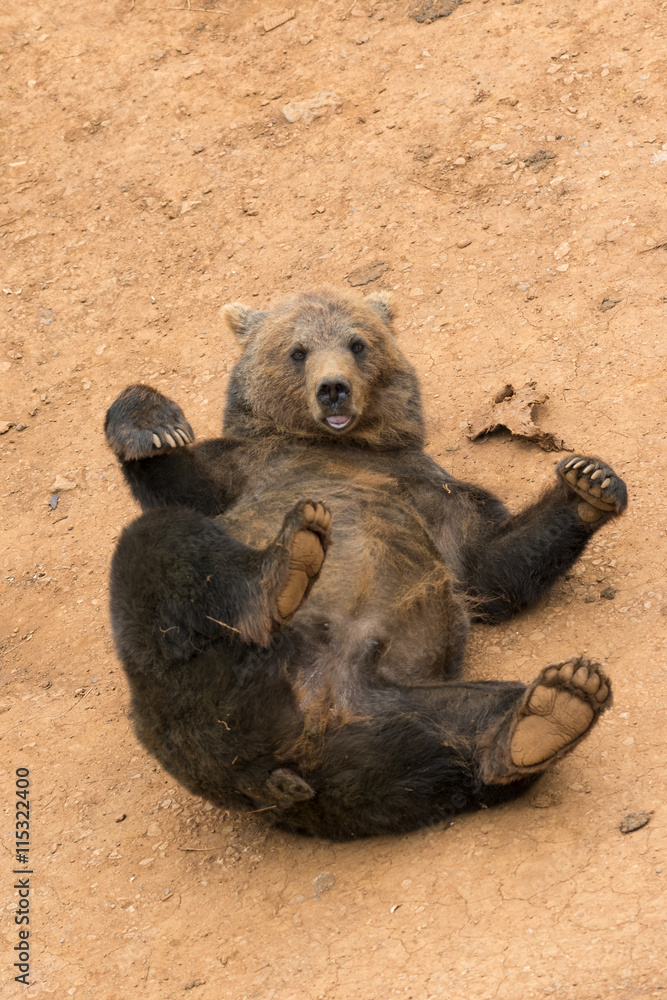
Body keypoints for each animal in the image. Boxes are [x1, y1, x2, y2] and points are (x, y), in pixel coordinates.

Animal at [105, 286, 627, 840]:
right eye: (297, 351)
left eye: (357, 343)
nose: (333, 389)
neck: (345, 445)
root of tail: (293, 758)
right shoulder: (249, 466)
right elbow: (180, 483)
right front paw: (154, 427)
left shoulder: (429, 490)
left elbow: (490, 568)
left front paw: (590, 481)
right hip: (196, 682)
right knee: (159, 545)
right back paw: (283, 568)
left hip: (395, 727)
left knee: (465, 726)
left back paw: (554, 708)